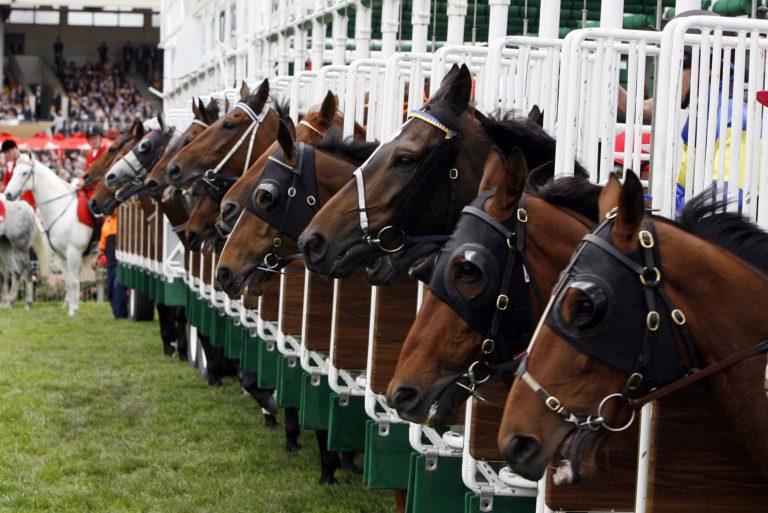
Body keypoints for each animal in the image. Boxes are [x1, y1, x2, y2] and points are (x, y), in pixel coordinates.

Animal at [4, 155, 92, 316]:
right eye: (13, 172)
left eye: (25, 173)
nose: (8, 194)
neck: (63, 211)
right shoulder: (62, 255)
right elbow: (69, 280)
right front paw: (72, 307)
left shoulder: (74, 252)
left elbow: (74, 281)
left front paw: (73, 310)